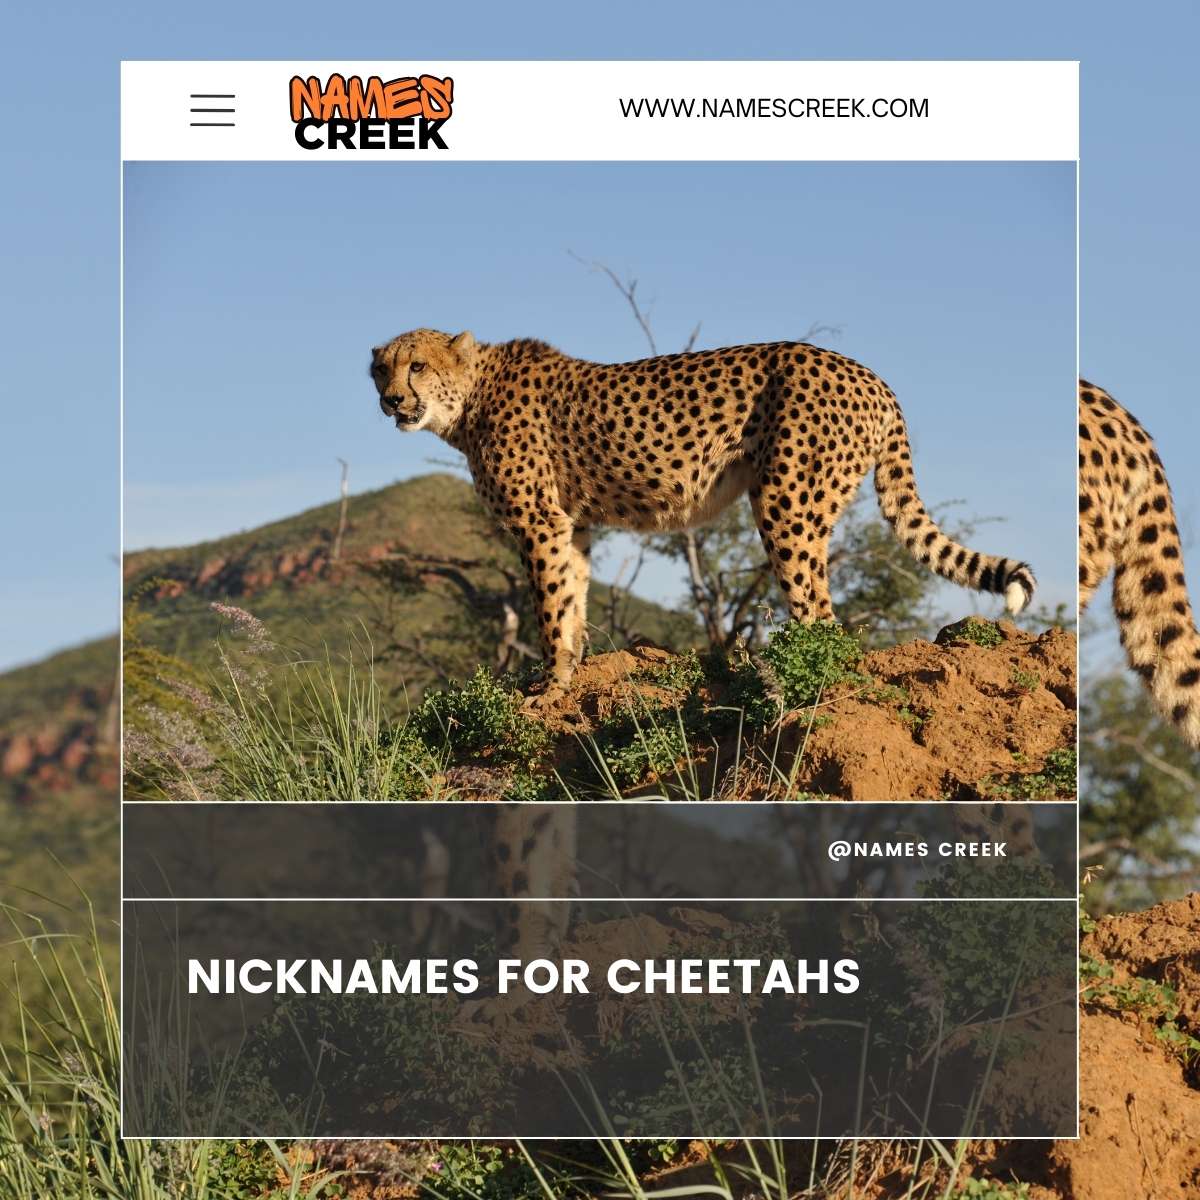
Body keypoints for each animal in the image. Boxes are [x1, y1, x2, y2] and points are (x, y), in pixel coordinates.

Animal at [369, 329, 1037, 698]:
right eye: (380, 368)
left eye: (417, 365)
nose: (391, 400)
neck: (470, 400)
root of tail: (869, 374)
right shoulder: (572, 525)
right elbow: (573, 597)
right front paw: (571, 674)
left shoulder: (540, 523)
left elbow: (551, 608)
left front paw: (549, 687)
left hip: (786, 500)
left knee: (820, 613)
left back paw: (793, 678)